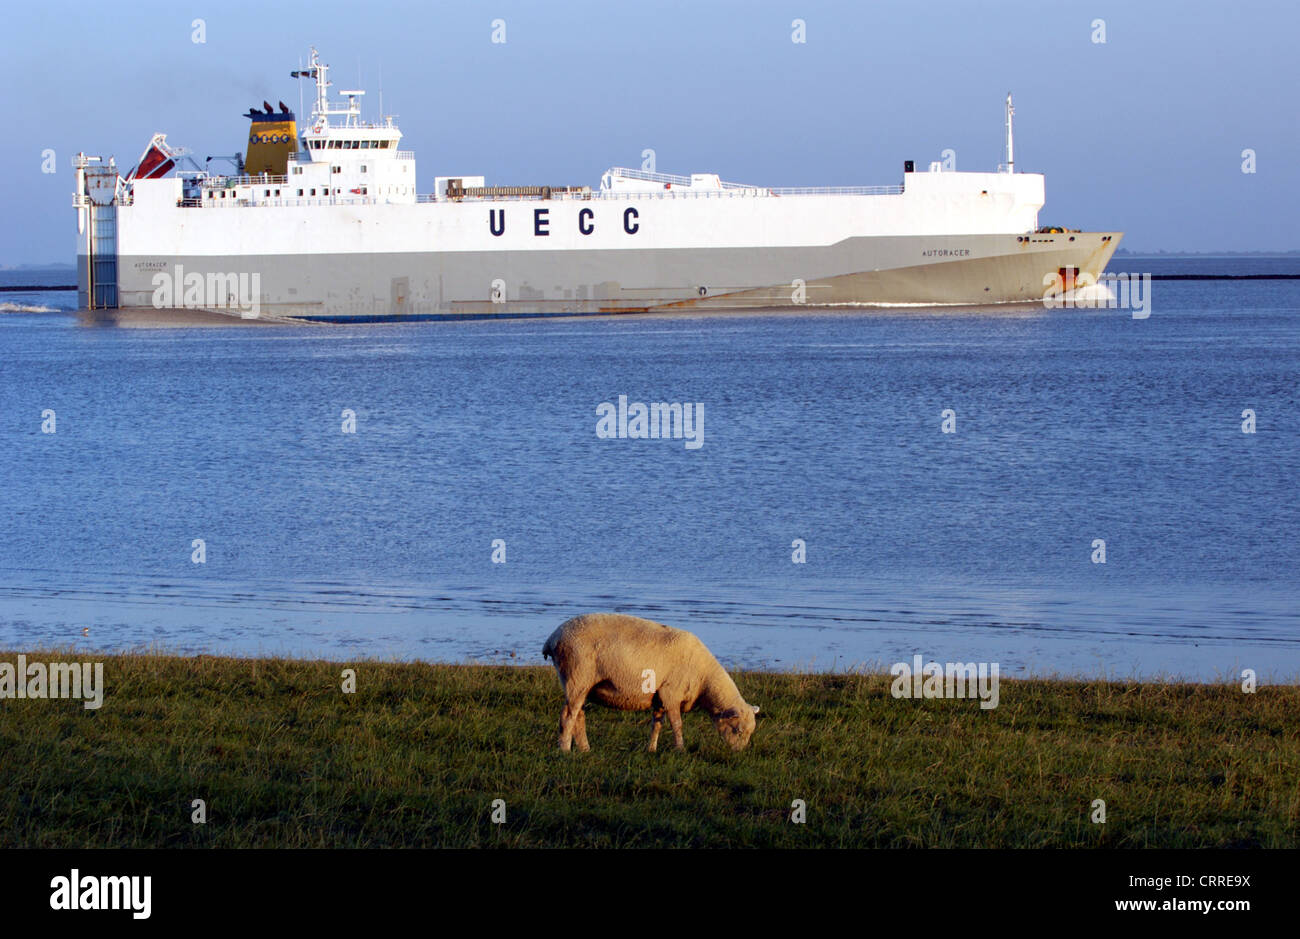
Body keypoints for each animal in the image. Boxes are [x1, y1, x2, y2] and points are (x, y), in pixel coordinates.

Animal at [542, 612, 759, 752]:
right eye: (738, 730)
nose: (737, 753)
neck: (704, 679)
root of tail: (553, 638)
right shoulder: (671, 693)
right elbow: (677, 724)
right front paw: (680, 749)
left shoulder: (660, 697)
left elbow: (657, 724)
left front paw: (651, 749)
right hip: (577, 676)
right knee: (568, 716)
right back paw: (565, 751)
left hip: (583, 684)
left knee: (578, 716)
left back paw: (585, 750)